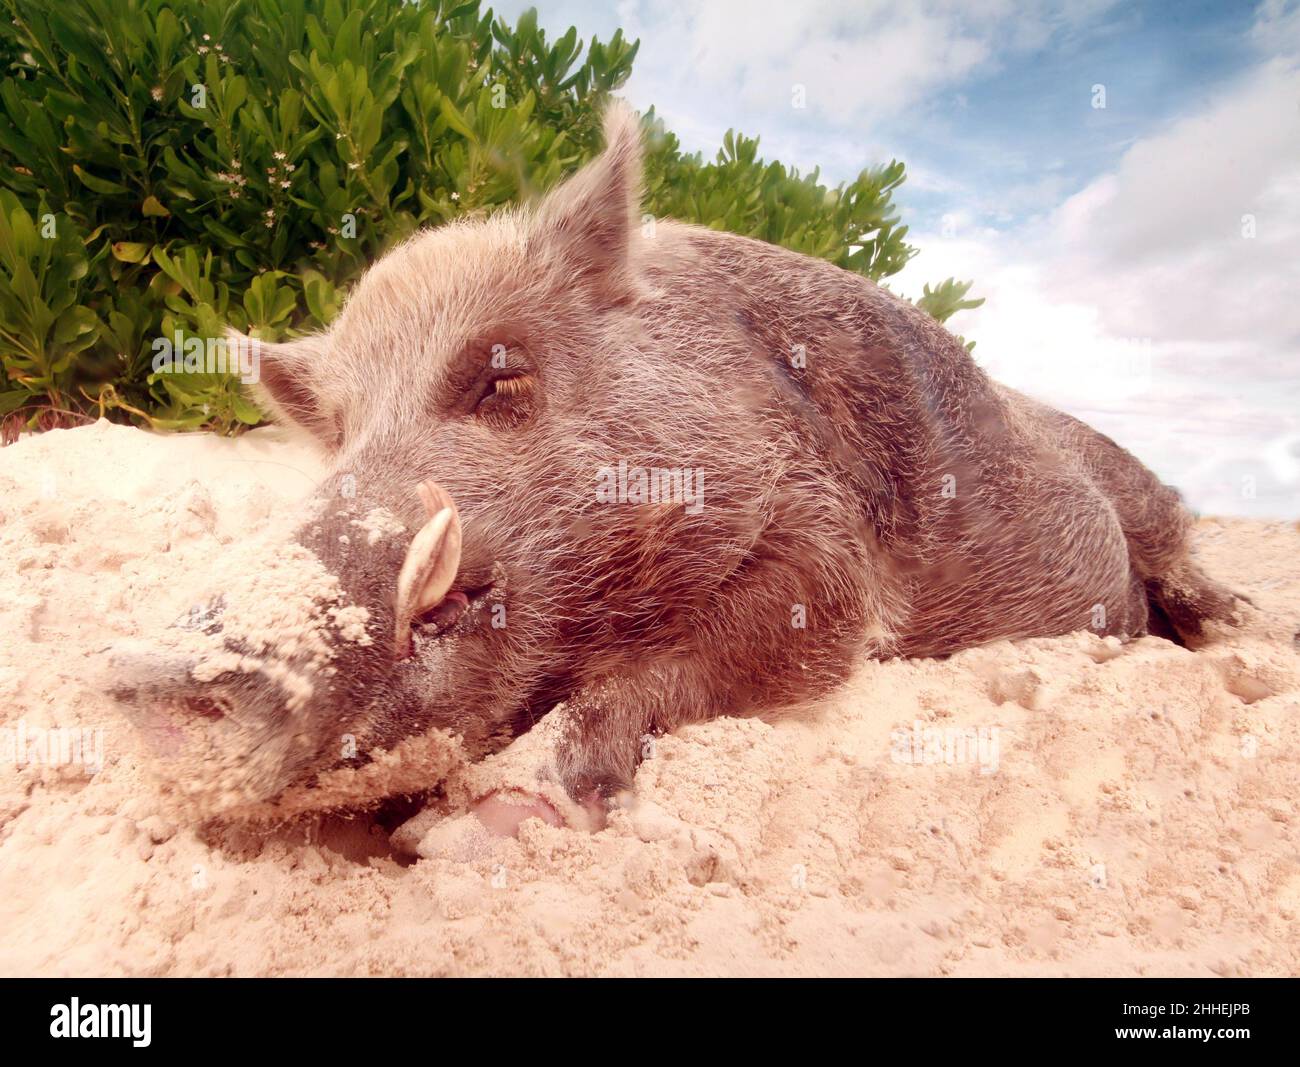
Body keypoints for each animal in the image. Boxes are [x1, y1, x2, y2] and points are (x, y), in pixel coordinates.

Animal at [109, 102, 1243, 825]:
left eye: (501, 377)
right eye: (339, 433)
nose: (154, 673)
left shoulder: (825, 555)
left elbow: (702, 661)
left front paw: (486, 824)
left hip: (1142, 489)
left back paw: (1235, 625)